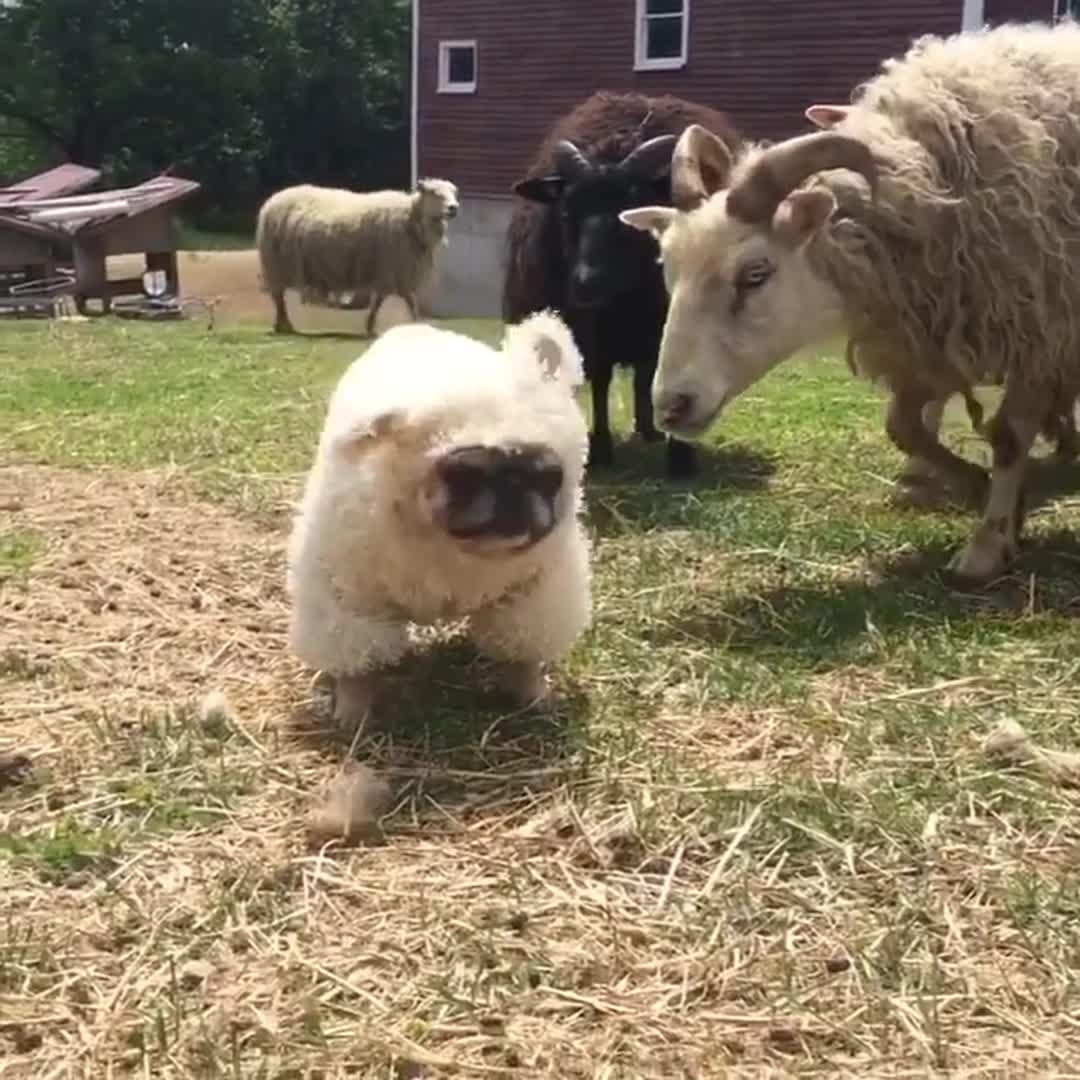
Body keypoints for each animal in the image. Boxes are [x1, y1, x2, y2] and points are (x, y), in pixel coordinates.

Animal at [255, 178, 459, 337]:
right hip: (275, 261)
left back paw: (282, 325)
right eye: (435, 193)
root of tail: (273, 199)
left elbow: (390, 300)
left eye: (454, 192)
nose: (454, 208)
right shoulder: (393, 266)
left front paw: (372, 326)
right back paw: (283, 325)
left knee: (278, 295)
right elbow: (406, 299)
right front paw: (414, 323)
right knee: (278, 296)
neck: (411, 218)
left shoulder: (396, 269)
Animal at [504, 91, 741, 478]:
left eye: (632, 212)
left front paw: (681, 458)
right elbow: (600, 382)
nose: (586, 283)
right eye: (566, 211)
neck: (622, 301)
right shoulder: (590, 329)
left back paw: (651, 431)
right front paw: (600, 448)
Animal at [621, 21, 1080, 583]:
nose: (671, 407)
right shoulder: (922, 336)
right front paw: (978, 488)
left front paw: (987, 546)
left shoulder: (1043, 331)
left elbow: (1010, 436)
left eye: (756, 274)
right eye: (668, 270)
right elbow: (902, 427)